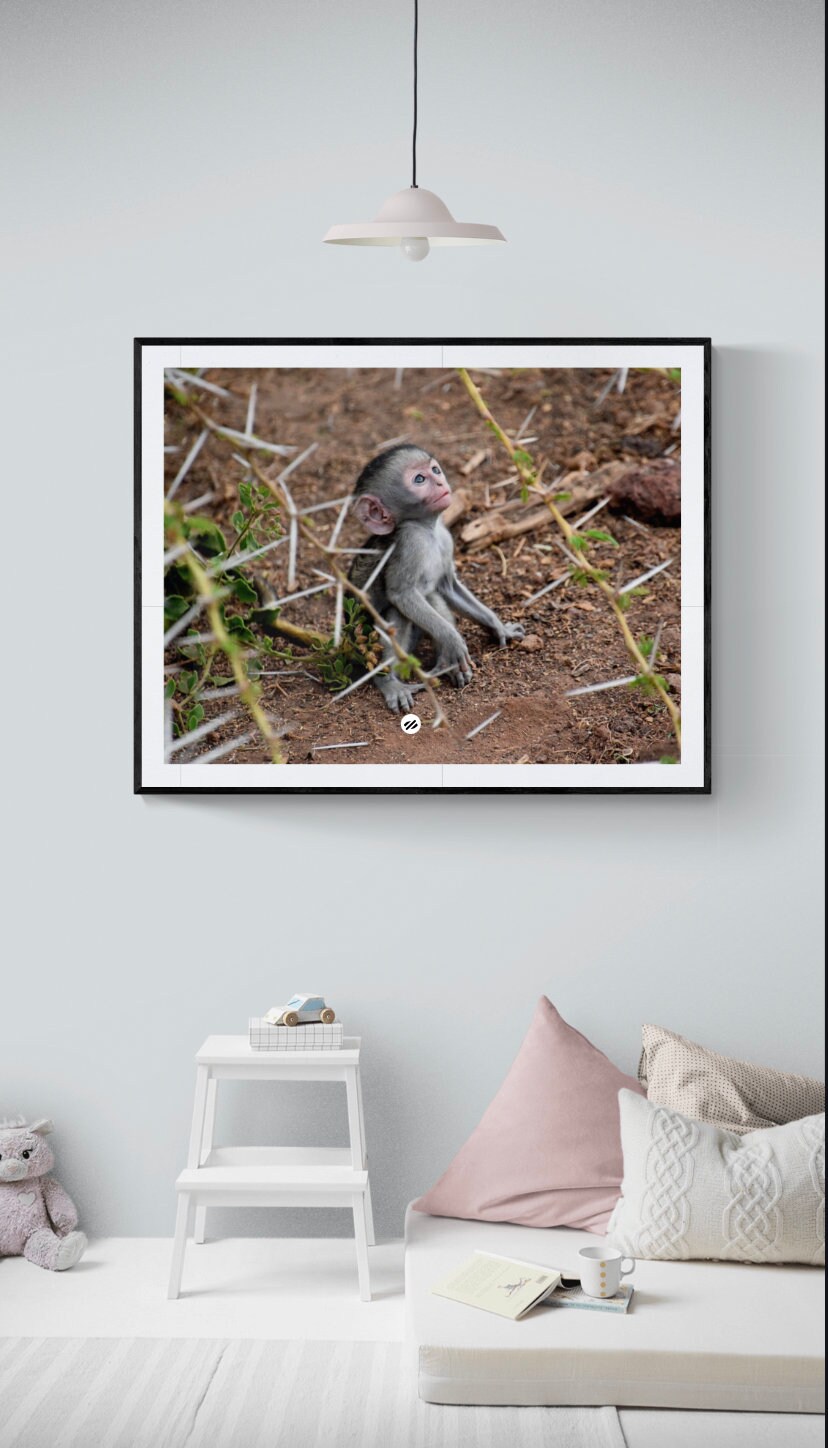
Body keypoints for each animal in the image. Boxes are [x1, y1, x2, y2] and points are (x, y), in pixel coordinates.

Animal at [348, 444, 525, 712]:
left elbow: (448, 588)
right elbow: (401, 594)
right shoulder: (410, 542)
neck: (427, 530)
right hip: (364, 645)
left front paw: (498, 627)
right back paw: (389, 682)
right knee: (400, 613)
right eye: (419, 480)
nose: (441, 483)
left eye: (435, 470)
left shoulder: (445, 538)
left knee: (432, 596)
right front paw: (454, 641)